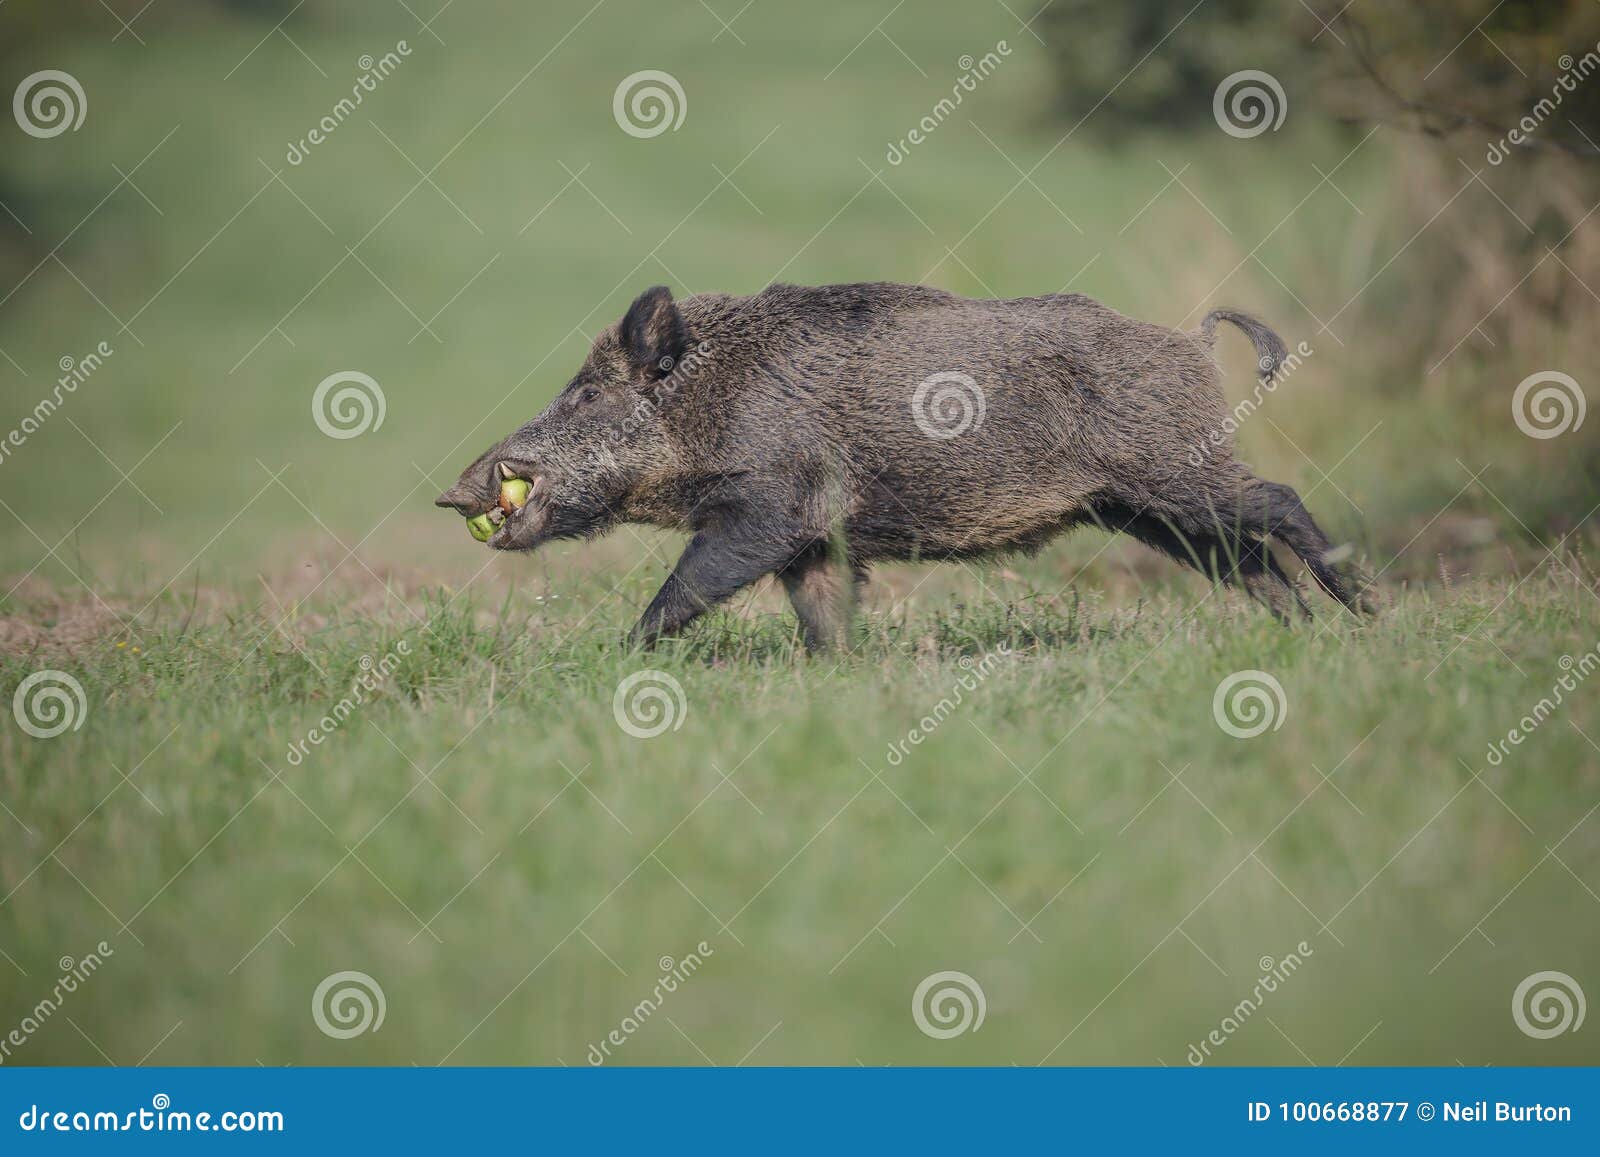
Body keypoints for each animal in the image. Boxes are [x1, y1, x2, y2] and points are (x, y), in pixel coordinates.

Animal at [436, 283, 1372, 650]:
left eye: (590, 393)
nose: (455, 489)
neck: (712, 402)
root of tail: (1191, 342)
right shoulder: (818, 538)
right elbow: (823, 613)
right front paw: (843, 674)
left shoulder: (772, 506)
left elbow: (689, 585)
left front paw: (621, 657)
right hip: (1141, 506)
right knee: (1243, 559)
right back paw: (1300, 633)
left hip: (1177, 470)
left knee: (1279, 500)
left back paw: (1365, 609)